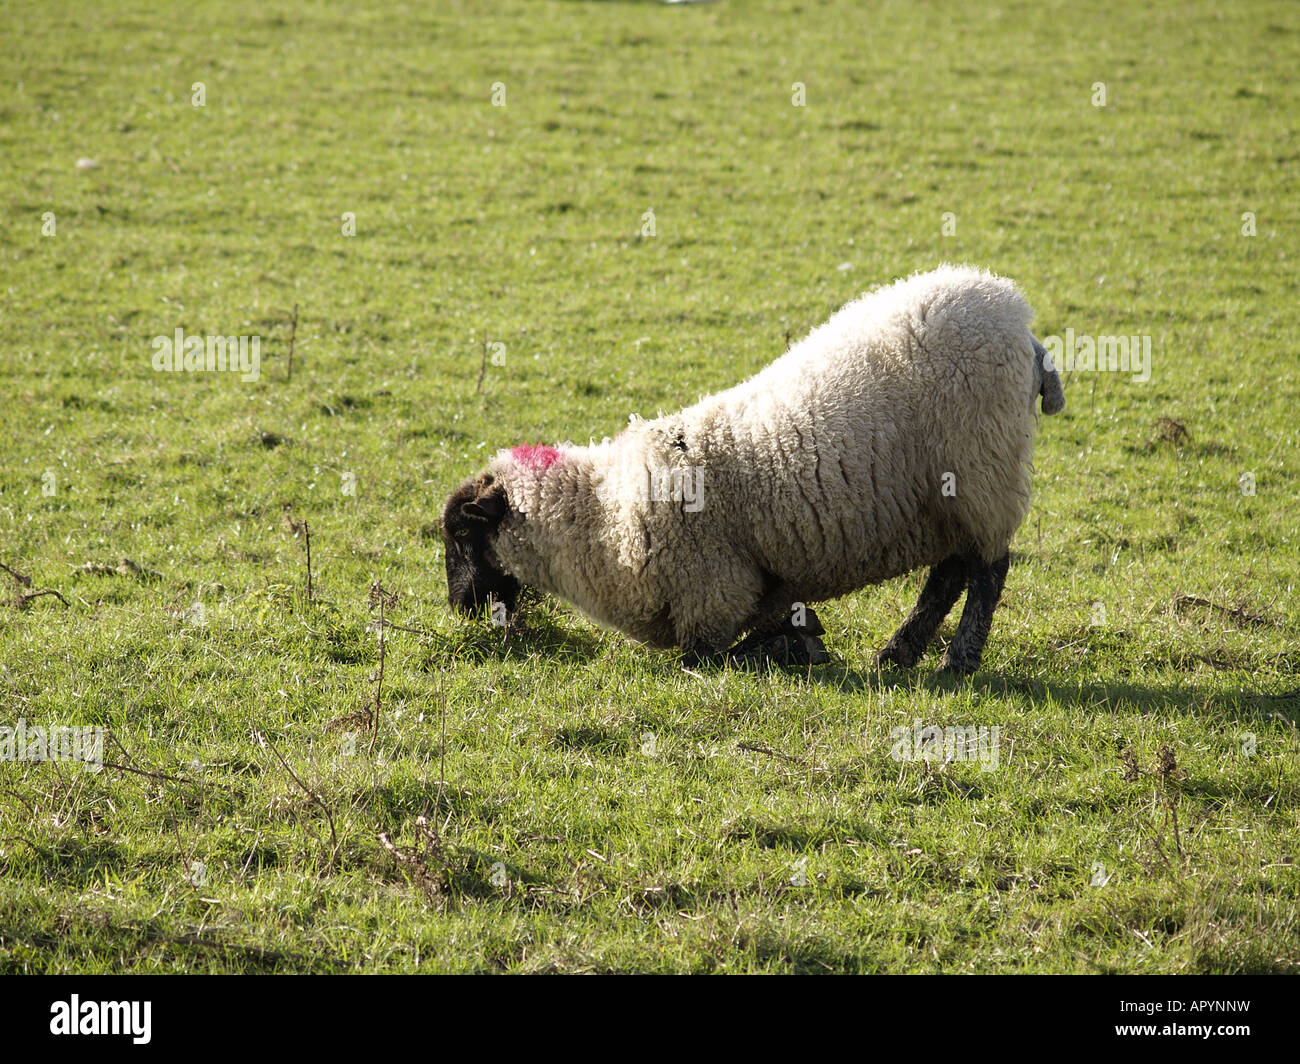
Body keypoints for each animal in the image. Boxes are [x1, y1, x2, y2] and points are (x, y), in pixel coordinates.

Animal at [441, 265, 1064, 675]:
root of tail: (1020, 319)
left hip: (983, 470)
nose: (459, 608)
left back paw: (957, 661)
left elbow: (717, 656)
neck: (601, 519)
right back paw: (898, 652)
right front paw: (806, 639)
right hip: (948, 498)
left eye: (462, 534)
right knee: (950, 571)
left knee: (987, 570)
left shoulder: (714, 599)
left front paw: (800, 647)